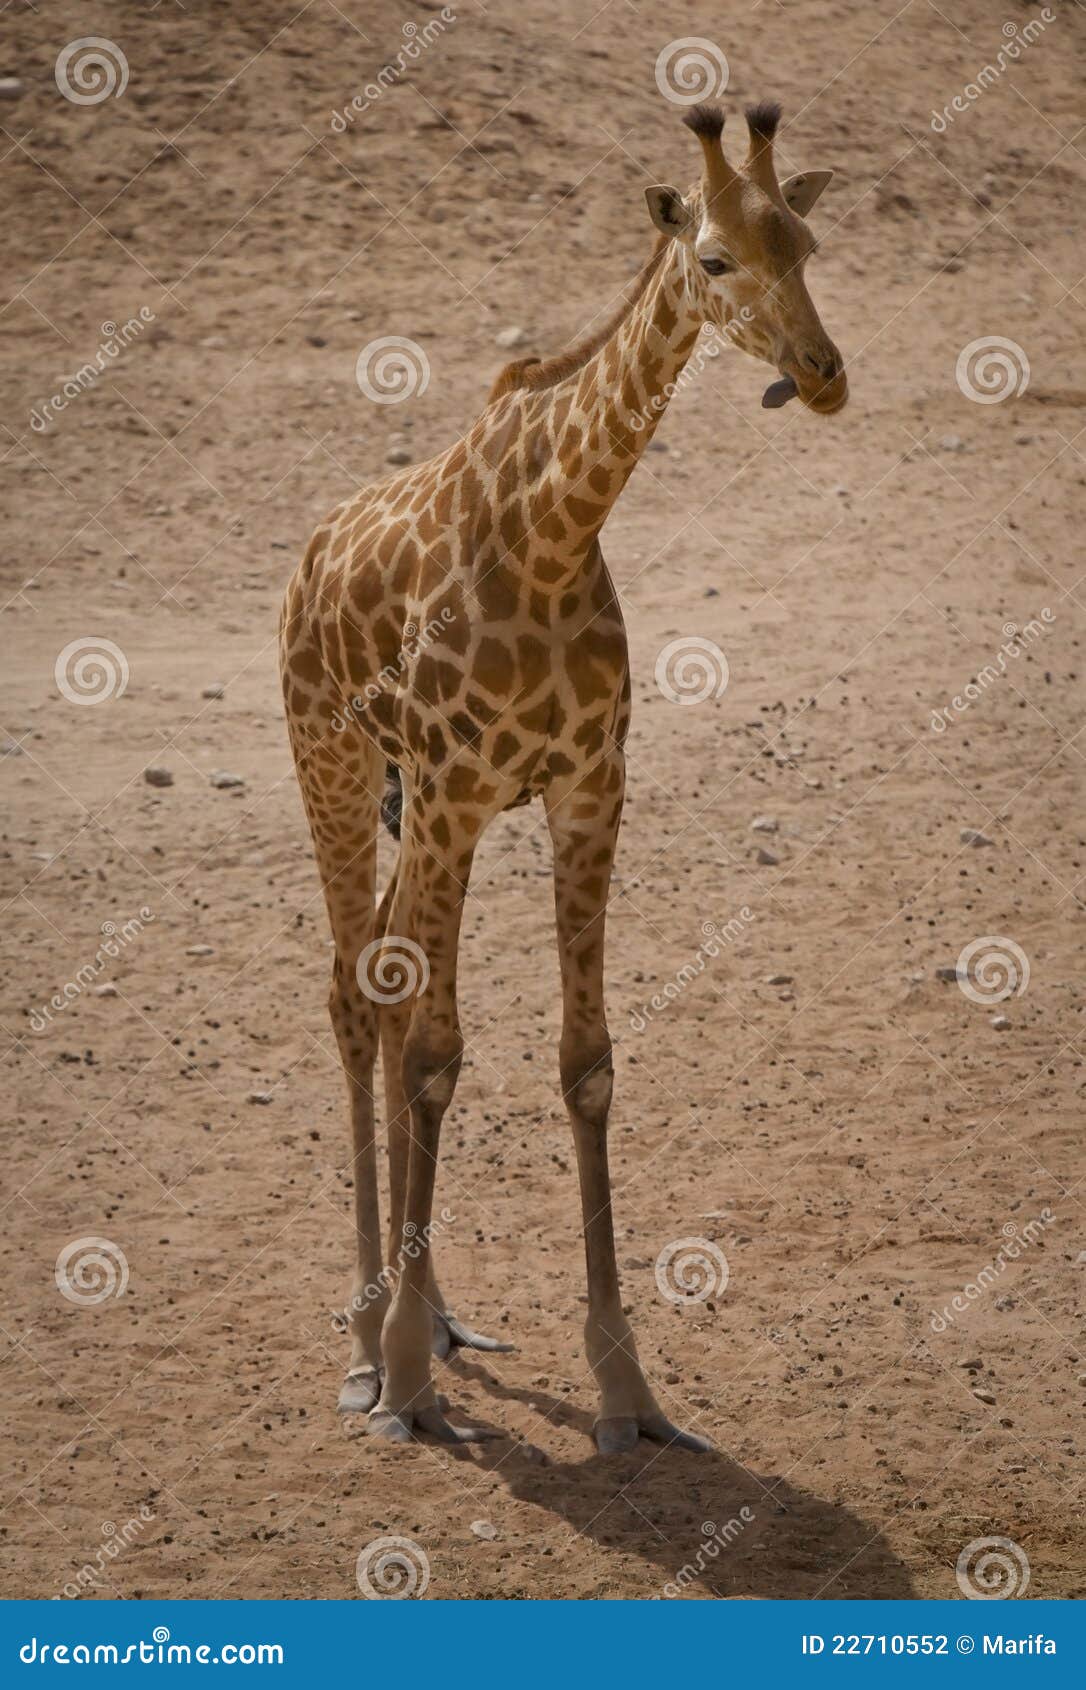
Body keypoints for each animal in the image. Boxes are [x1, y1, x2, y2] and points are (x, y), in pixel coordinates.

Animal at [279, 99, 847, 1452]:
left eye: (807, 244)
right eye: (715, 259)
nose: (821, 373)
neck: (552, 533)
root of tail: (307, 558)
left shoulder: (588, 787)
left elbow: (585, 1063)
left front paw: (628, 1390)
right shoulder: (453, 791)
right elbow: (437, 1053)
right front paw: (405, 1385)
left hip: (424, 804)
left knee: (385, 985)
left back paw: (436, 1316)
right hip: (338, 762)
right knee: (355, 997)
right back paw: (371, 1341)